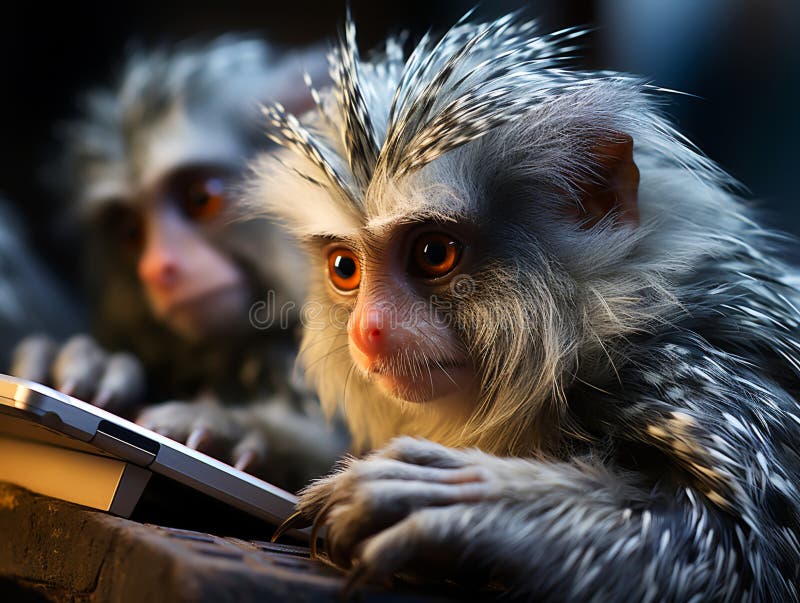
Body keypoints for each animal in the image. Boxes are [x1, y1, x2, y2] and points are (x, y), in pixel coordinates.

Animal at [251, 13, 800, 600]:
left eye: (434, 253)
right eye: (344, 269)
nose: (366, 330)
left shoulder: (697, 374)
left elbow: (738, 554)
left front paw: (474, 502)